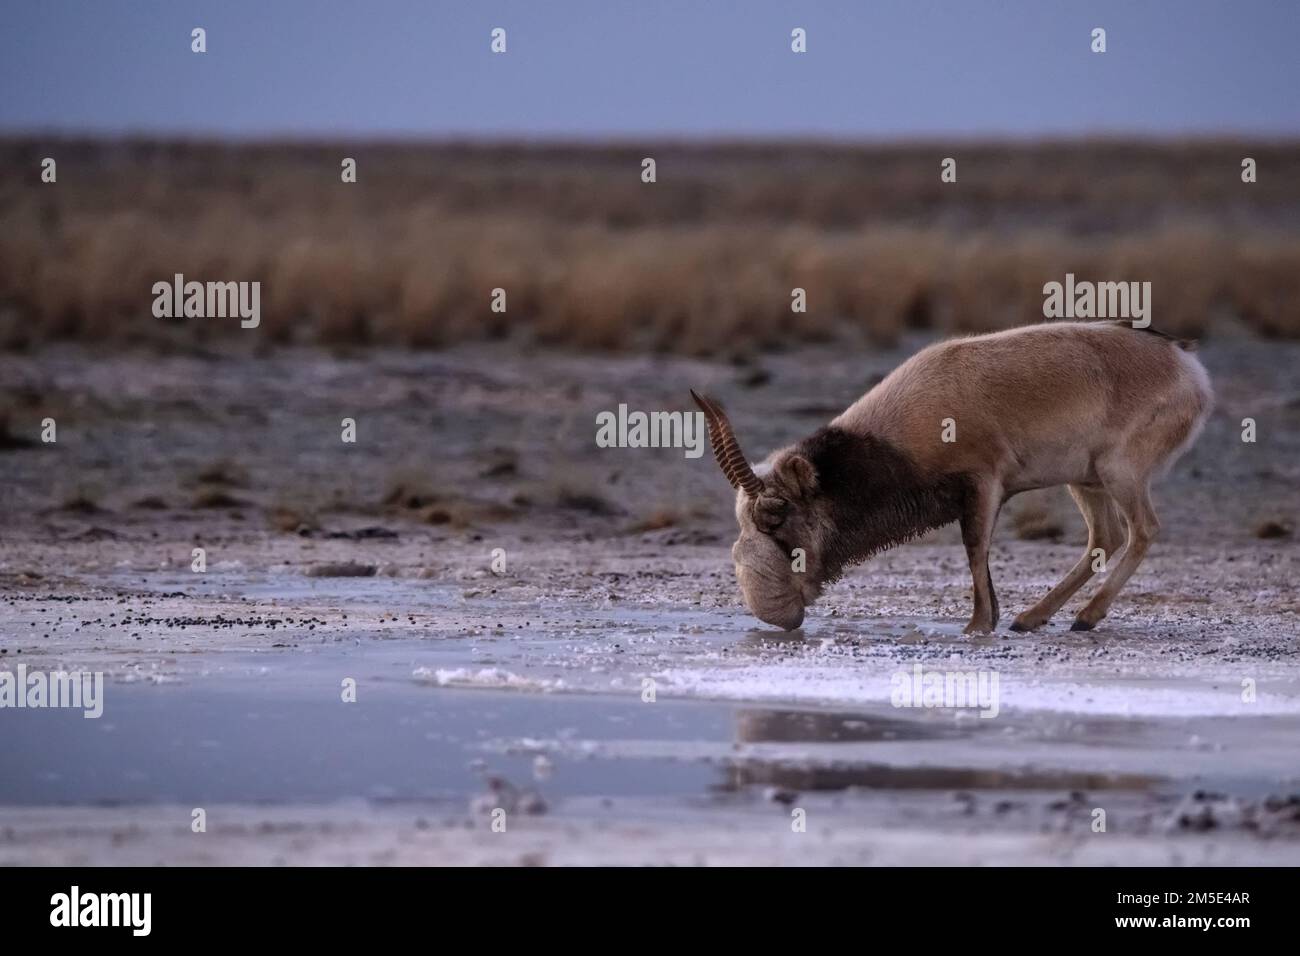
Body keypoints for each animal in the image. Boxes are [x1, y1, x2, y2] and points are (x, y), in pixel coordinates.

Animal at [693, 321, 1213, 634]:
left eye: (776, 514)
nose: (772, 613)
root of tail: (1185, 364)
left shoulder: (983, 483)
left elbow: (974, 547)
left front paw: (977, 626)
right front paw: (995, 619)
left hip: (1118, 473)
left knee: (1142, 530)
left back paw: (1086, 616)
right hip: (1085, 480)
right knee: (1104, 537)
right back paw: (1032, 618)